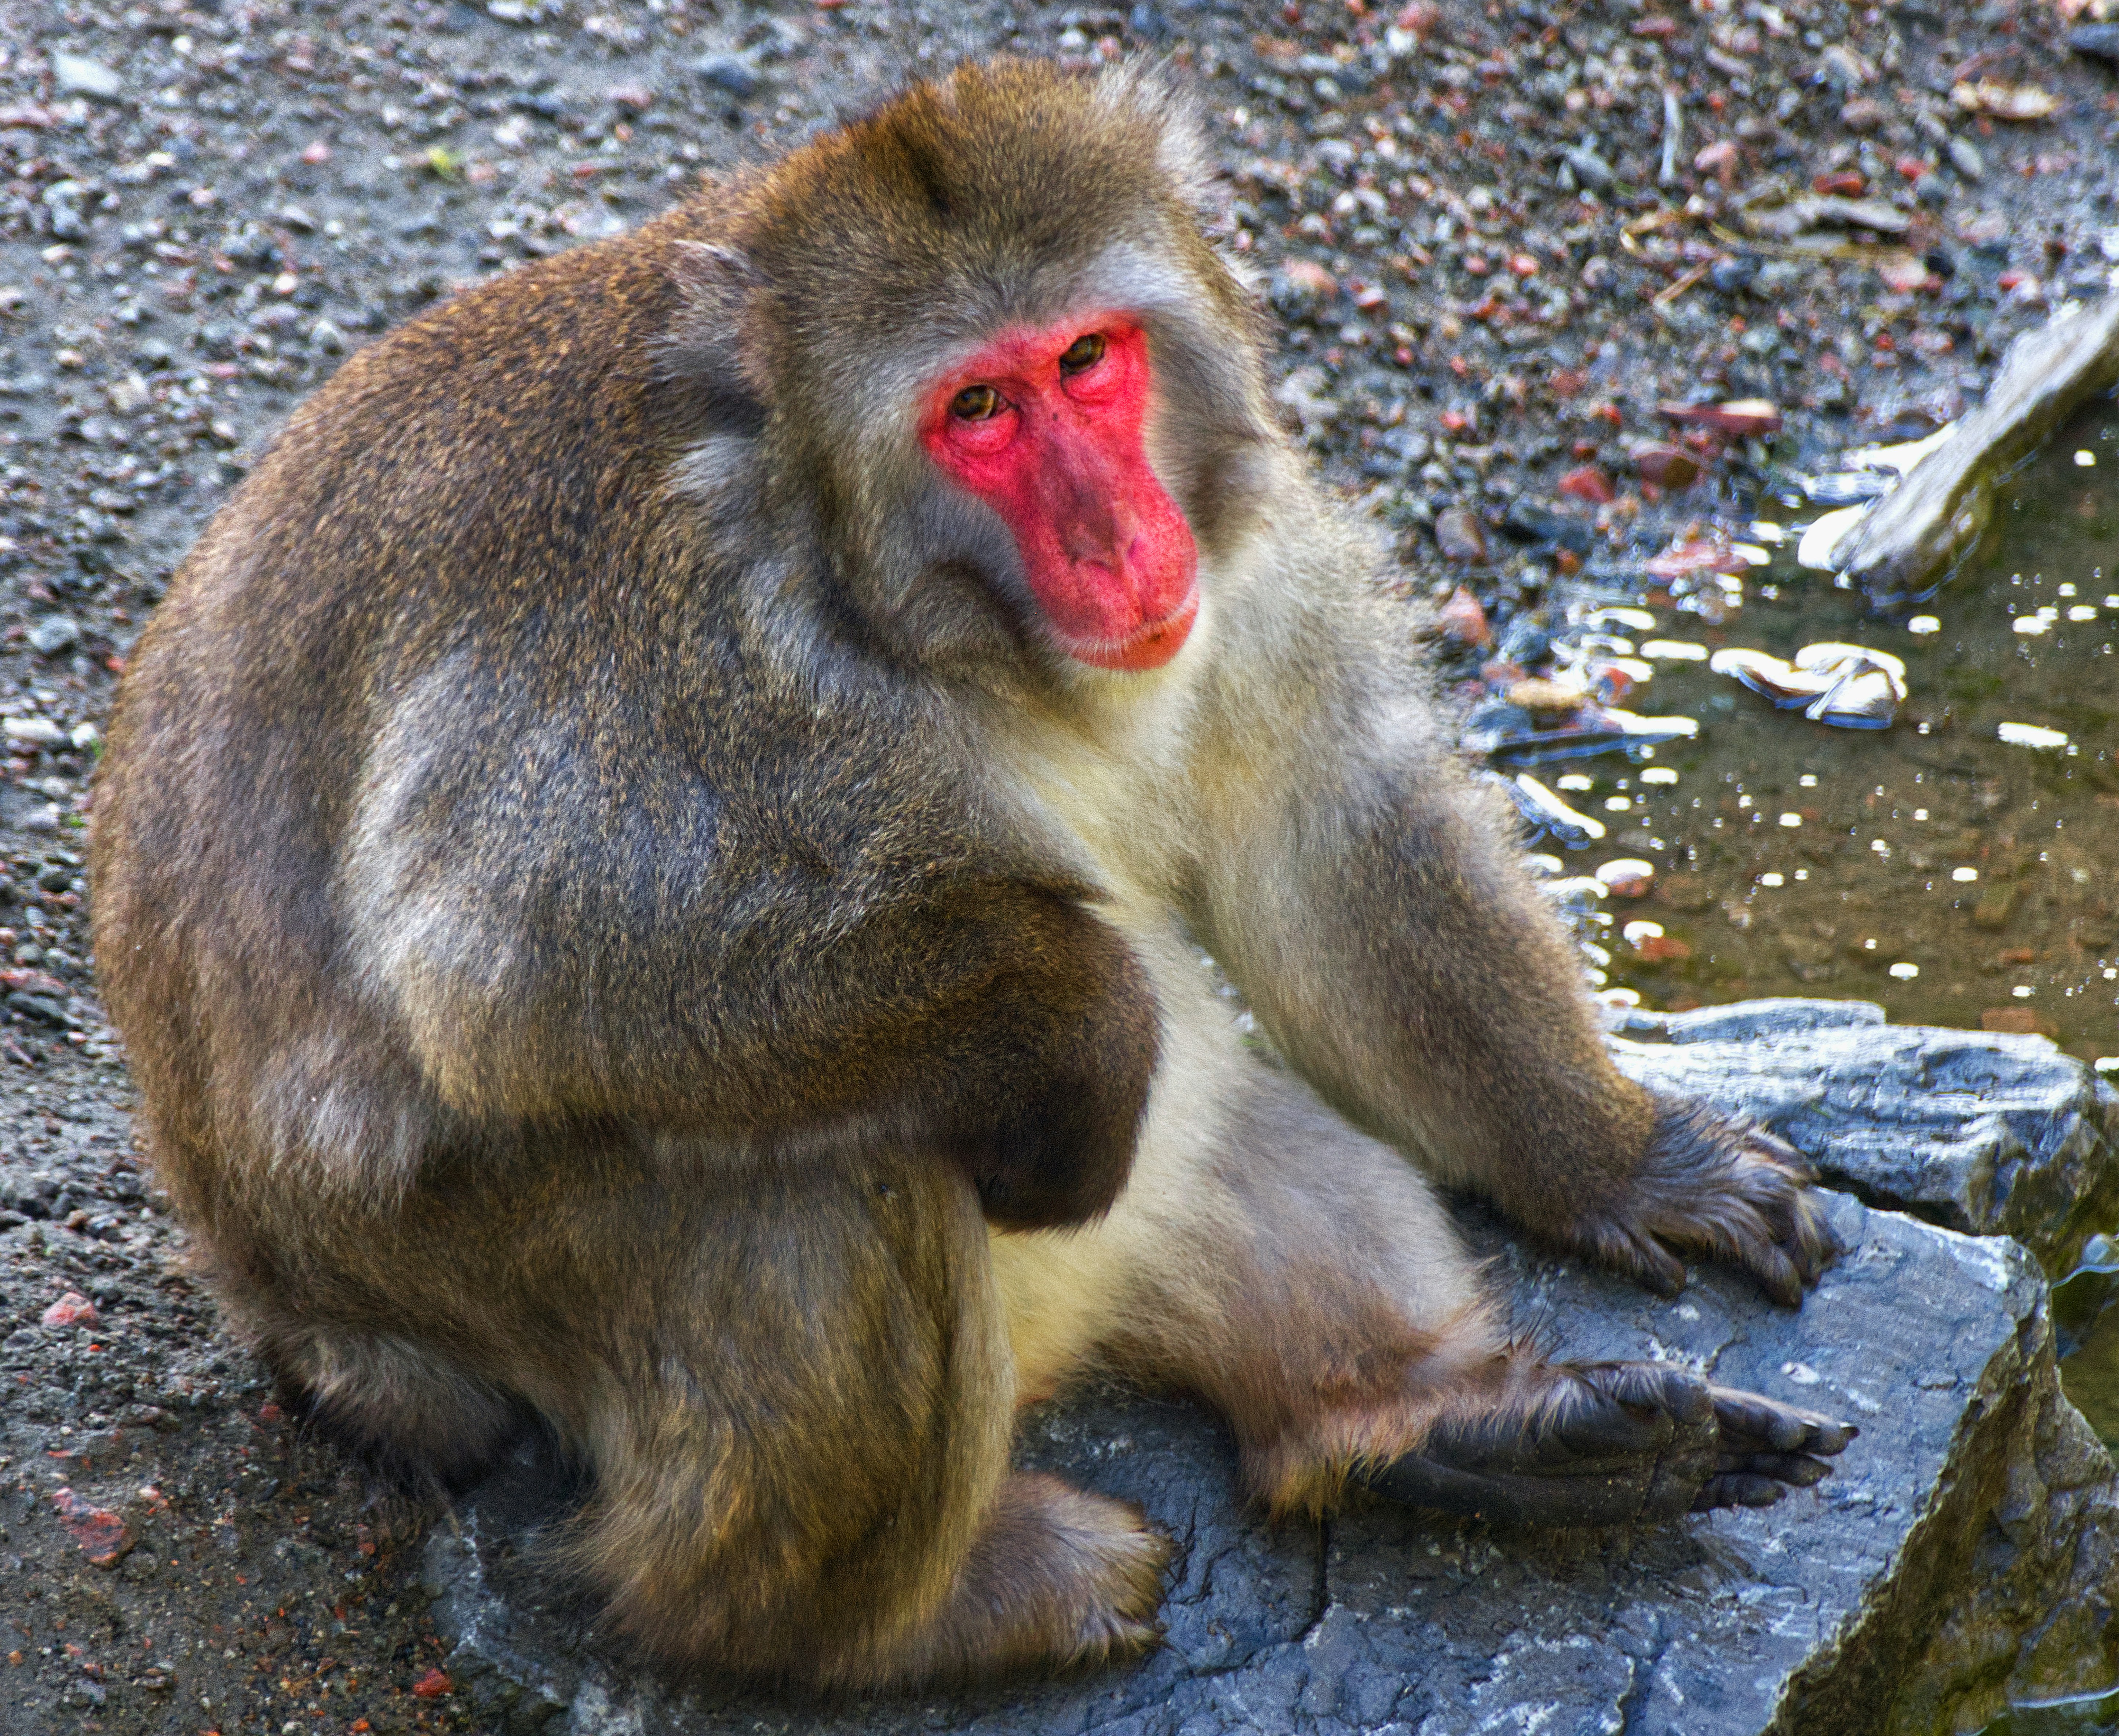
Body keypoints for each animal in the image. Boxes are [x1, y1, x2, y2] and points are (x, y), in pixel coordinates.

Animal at [89, 60, 1850, 1692]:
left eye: (1086, 362)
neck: (898, 605)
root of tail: (276, 1292)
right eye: (978, 414)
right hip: (475, 1295)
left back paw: (1425, 1421)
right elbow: (514, 980)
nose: (1118, 541)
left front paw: (1622, 1161)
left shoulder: (1239, 552)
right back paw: (859, 1622)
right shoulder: (662, 663)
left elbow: (1326, 830)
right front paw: (1085, 1030)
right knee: (841, 1182)